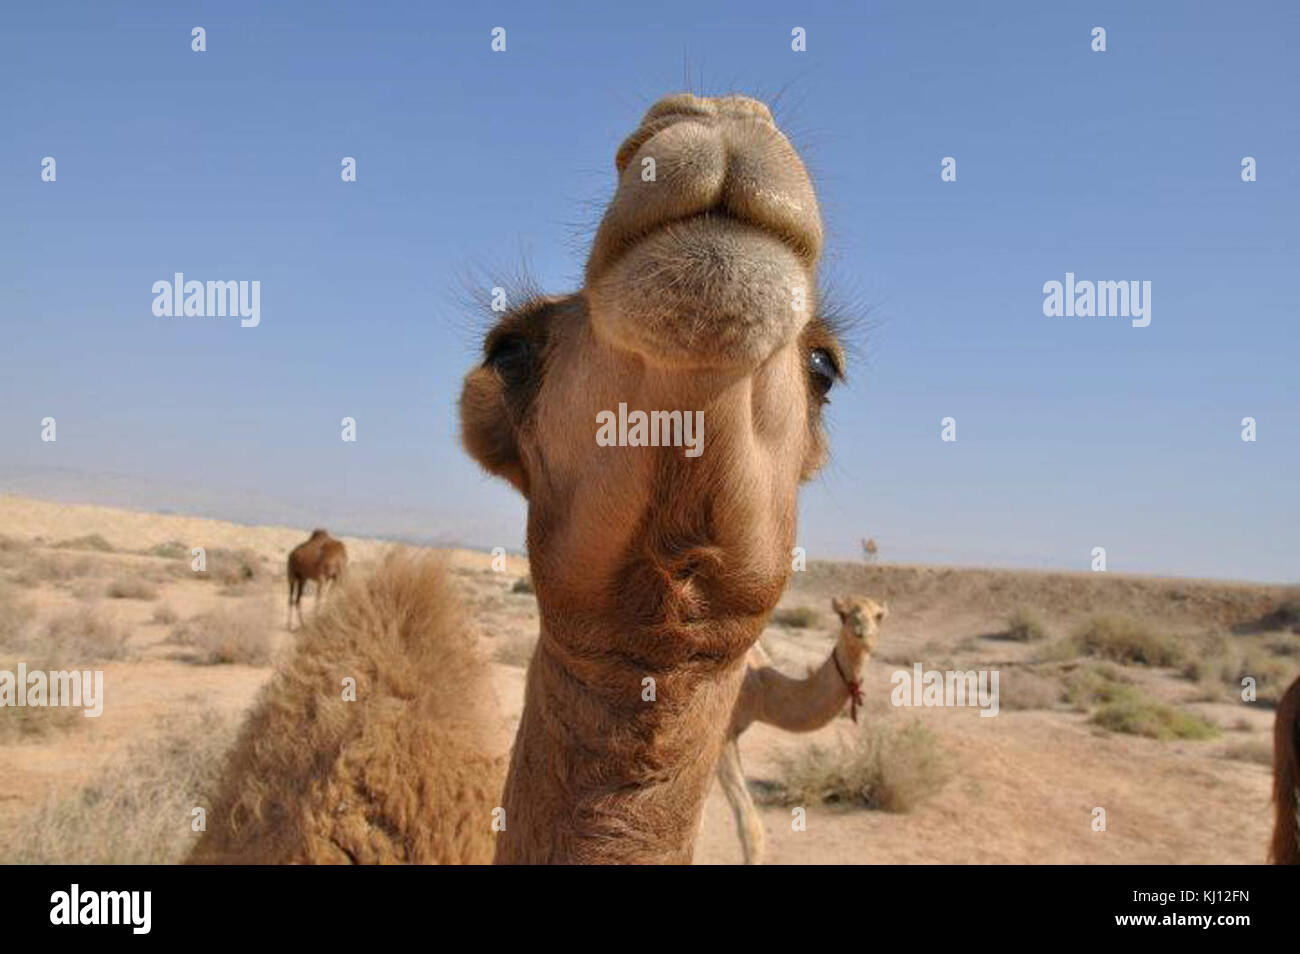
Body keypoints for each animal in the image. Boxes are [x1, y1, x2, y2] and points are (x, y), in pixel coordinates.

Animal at [716, 595, 887, 864]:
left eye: (878, 616)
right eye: (843, 614)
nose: (863, 633)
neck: (759, 688)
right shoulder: (721, 736)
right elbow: (748, 827)